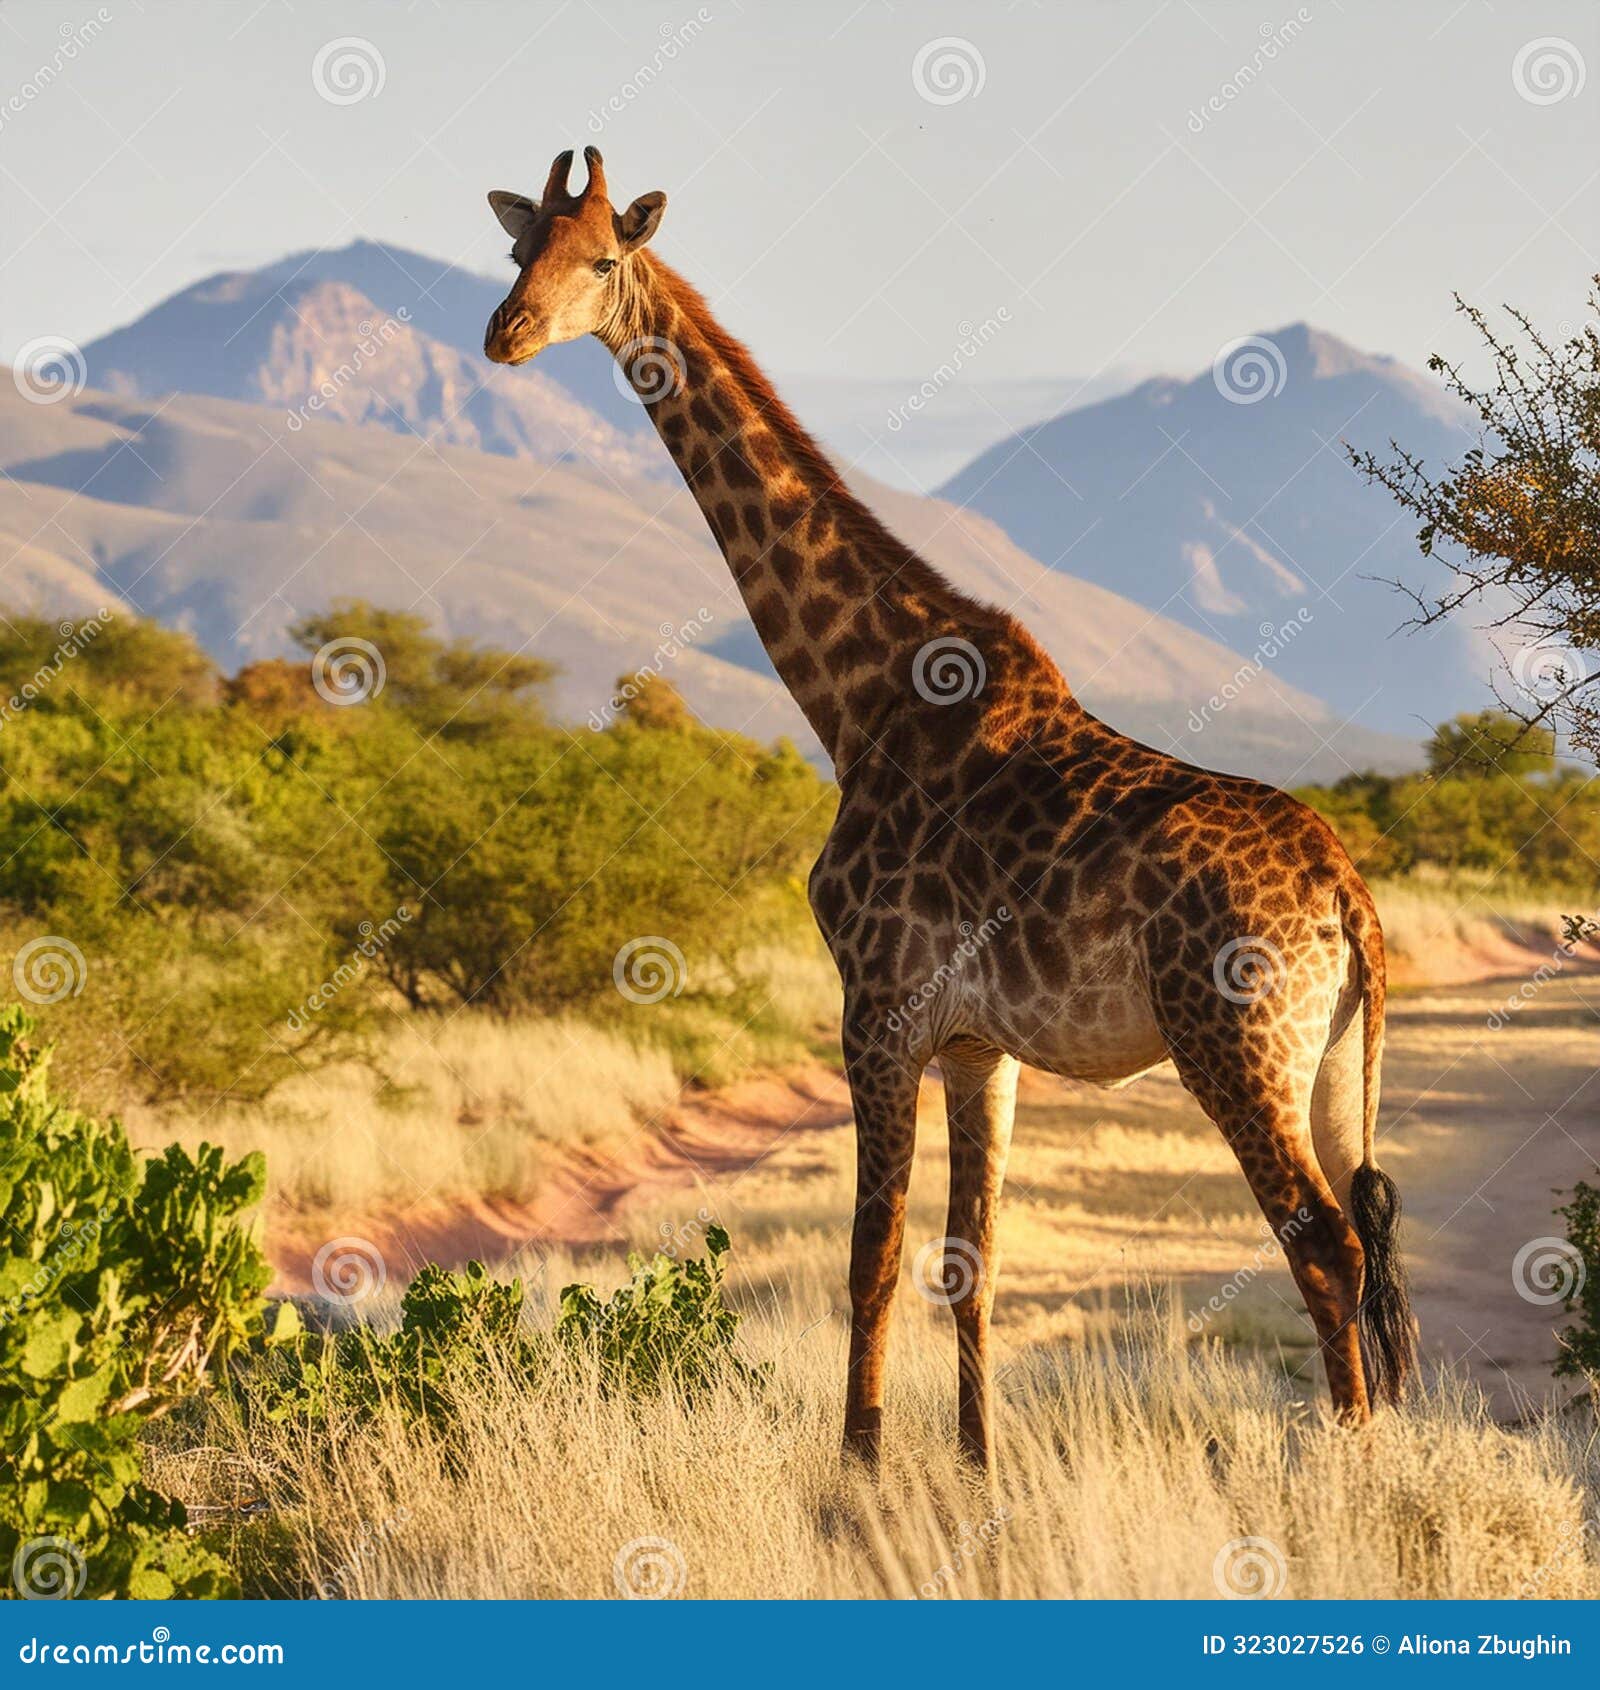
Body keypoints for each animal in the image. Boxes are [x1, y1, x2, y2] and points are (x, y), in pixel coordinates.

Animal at [484, 148, 1417, 1470]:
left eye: (602, 257)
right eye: (523, 252)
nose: (503, 334)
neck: (858, 696)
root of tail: (1347, 898)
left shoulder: (877, 1008)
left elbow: (870, 1256)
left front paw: (858, 1468)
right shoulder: (984, 1045)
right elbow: (969, 1260)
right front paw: (978, 1464)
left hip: (1235, 1046)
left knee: (1323, 1244)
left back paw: (1340, 1472)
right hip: (1333, 1060)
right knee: (1372, 1236)